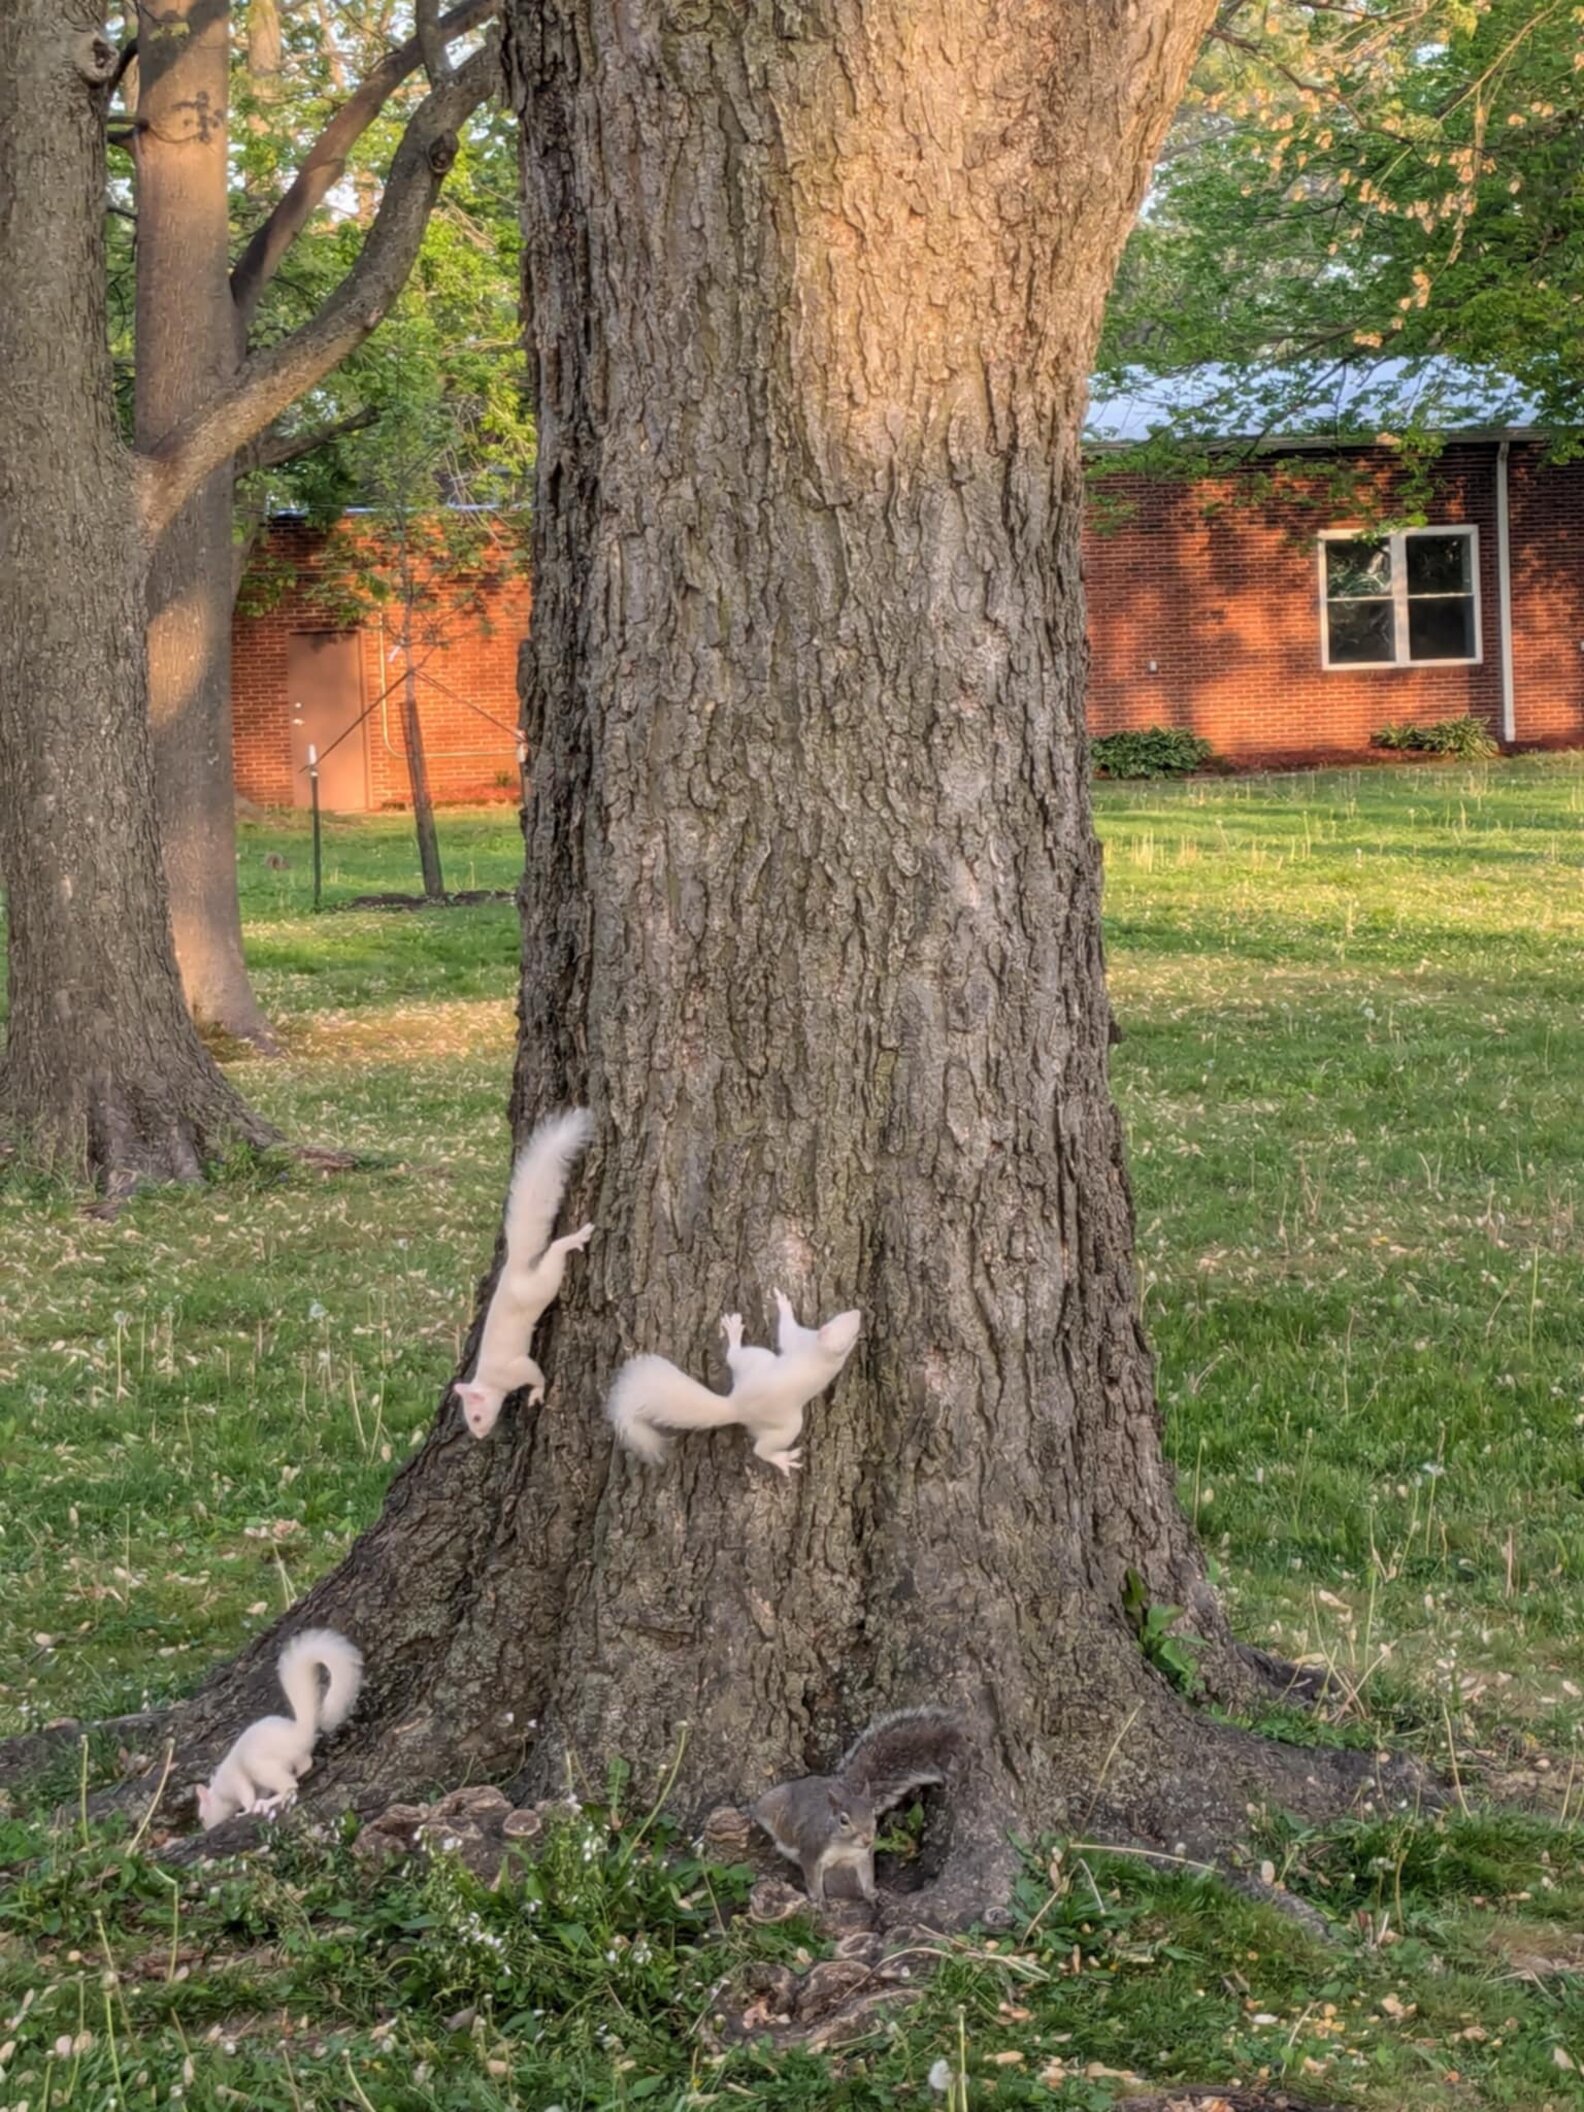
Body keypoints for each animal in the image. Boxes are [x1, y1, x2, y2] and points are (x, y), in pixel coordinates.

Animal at [193, 1629, 363, 1829]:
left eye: (202, 1817)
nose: (207, 1828)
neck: (219, 1789)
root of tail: (300, 1735)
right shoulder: (256, 1786)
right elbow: (258, 1792)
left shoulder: (236, 1781)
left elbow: (247, 1797)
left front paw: (245, 1811)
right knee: (305, 1765)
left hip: (261, 1766)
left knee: (289, 1786)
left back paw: (268, 1802)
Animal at [455, 1107, 594, 1439]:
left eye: (476, 1417)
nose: (479, 1436)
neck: (490, 1381)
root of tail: (515, 1268)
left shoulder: (515, 1368)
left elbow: (535, 1374)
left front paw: (538, 1393)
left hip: (542, 1286)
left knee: (555, 1250)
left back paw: (575, 1238)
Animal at [605, 1289, 861, 1474]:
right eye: (844, 1320)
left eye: (853, 1330)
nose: (859, 1312)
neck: (823, 1352)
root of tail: (736, 1406)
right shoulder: (803, 1341)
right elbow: (787, 1330)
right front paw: (784, 1304)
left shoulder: (804, 1343)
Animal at [752, 1708, 967, 1906]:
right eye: (843, 1820)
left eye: (873, 1813)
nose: (867, 1839)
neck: (845, 1846)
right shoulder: (812, 1850)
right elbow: (812, 1878)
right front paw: (818, 1900)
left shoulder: (862, 1856)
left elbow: (866, 1876)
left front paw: (872, 1894)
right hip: (773, 1807)